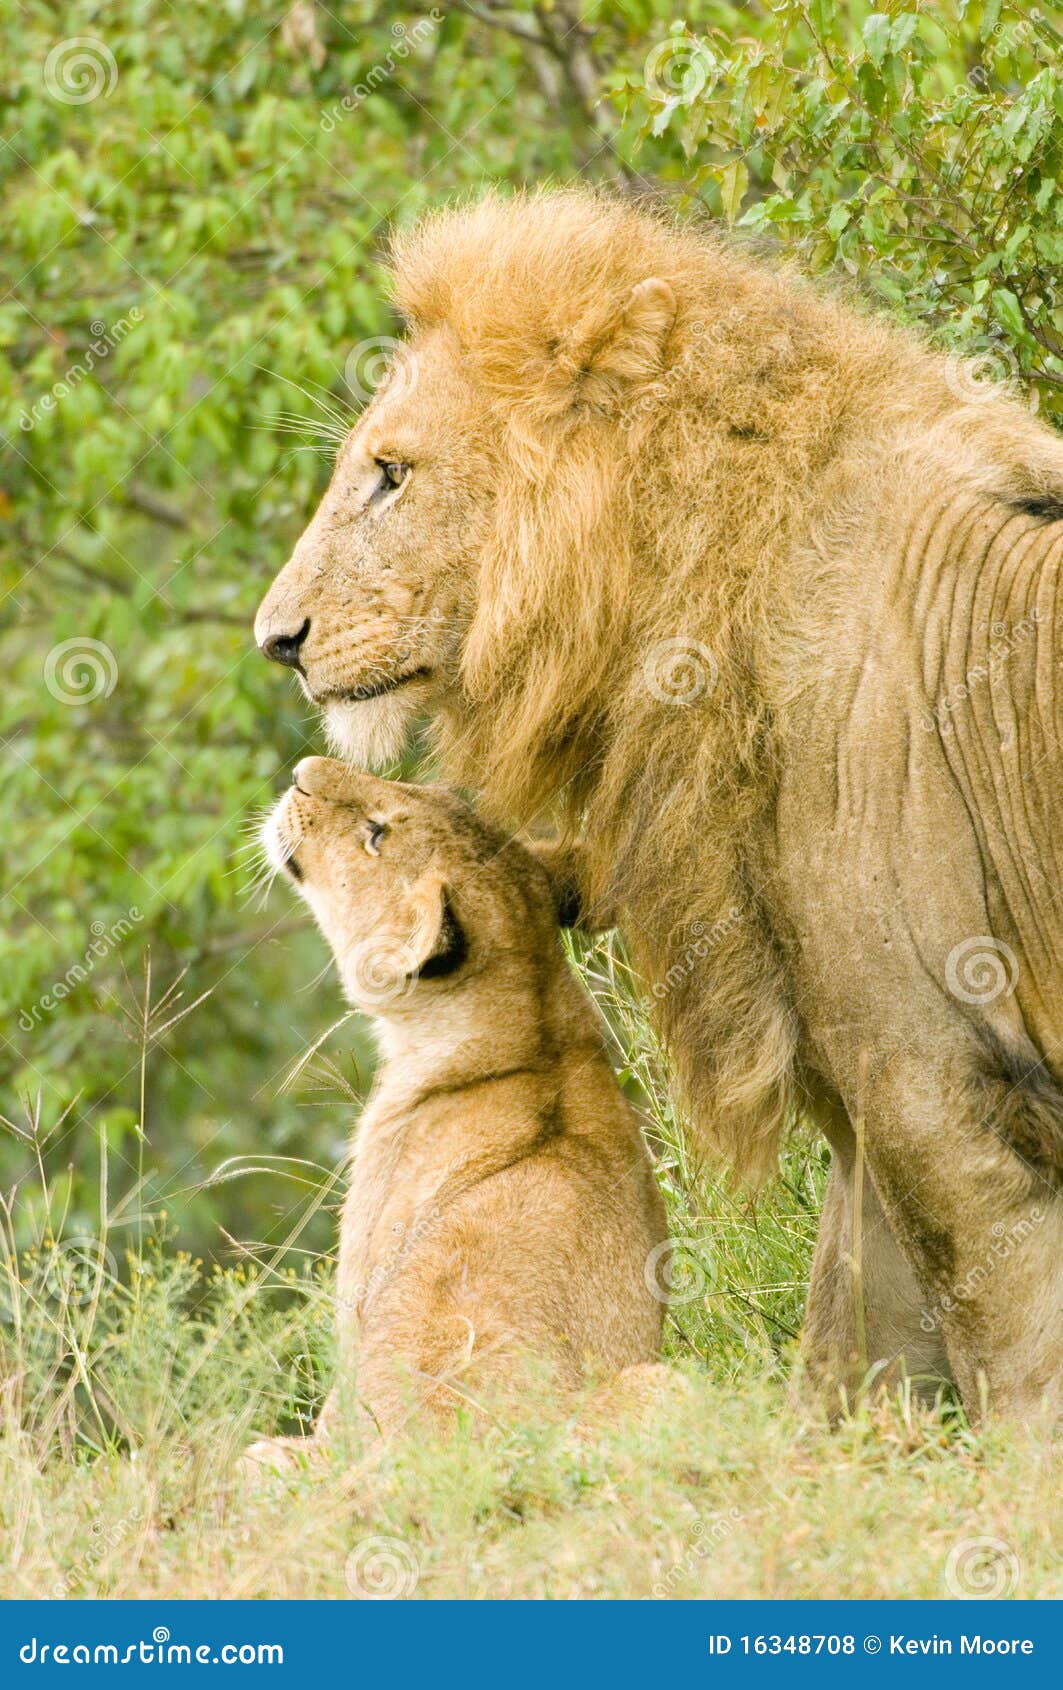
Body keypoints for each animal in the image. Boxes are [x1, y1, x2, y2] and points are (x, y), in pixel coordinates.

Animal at [245, 757, 666, 1462]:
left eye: (377, 833)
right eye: (436, 790)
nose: (304, 770)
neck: (537, 1033)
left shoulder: (359, 1292)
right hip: (663, 1381)